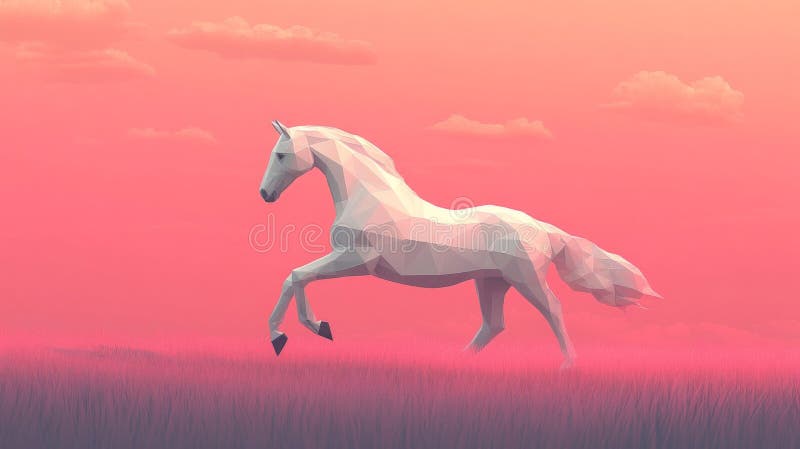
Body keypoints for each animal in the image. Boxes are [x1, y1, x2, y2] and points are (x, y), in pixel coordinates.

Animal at [259, 120, 661, 368]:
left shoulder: (357, 260)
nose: (265, 194)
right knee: (494, 325)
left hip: (526, 280)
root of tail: (544, 229)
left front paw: (305, 331)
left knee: (554, 310)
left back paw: (567, 365)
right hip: (491, 283)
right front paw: (294, 334)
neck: (367, 195)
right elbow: (295, 278)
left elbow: (297, 276)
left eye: (280, 154)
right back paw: (458, 361)